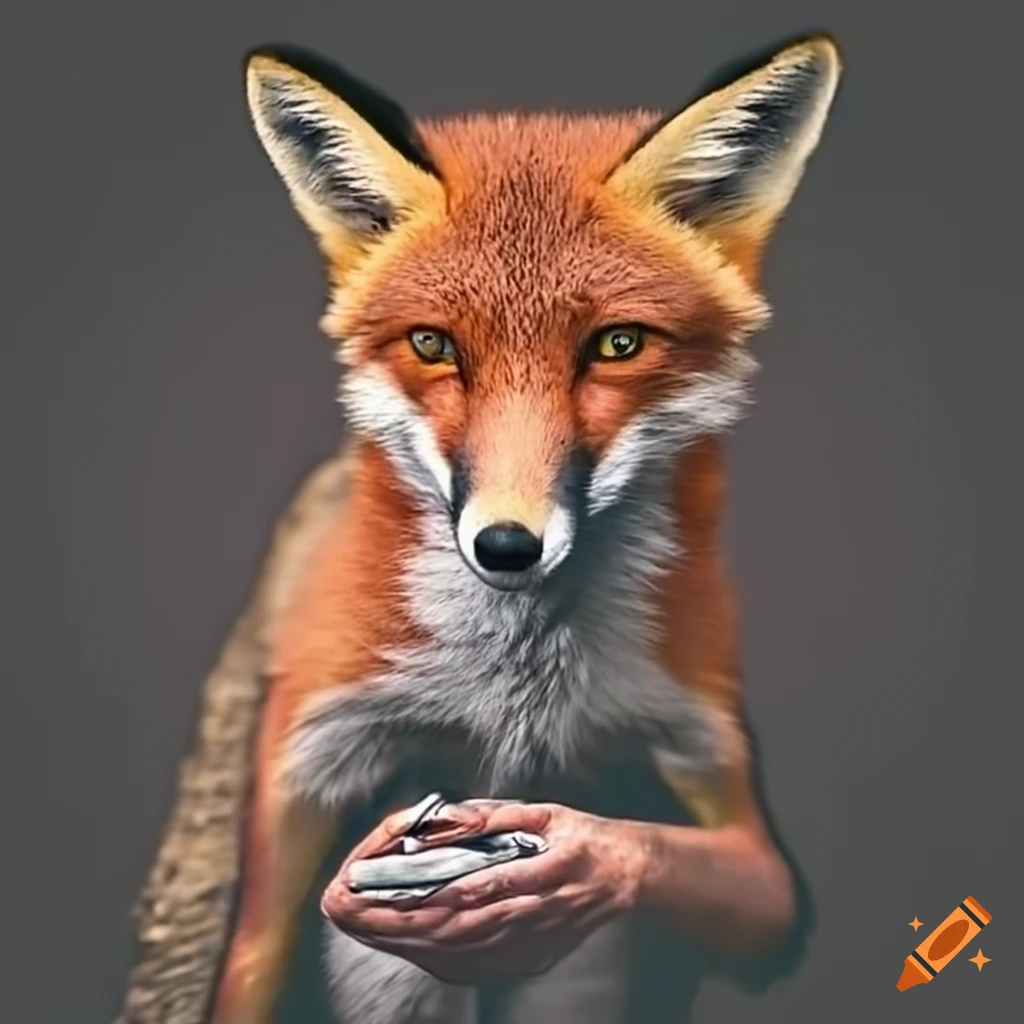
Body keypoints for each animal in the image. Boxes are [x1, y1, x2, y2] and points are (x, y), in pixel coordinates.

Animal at [209, 30, 844, 1024]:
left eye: (618, 344)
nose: (506, 546)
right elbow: (253, 966)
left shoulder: (712, 762)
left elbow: (736, 892)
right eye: (432, 344)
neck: (515, 684)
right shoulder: (307, 762)